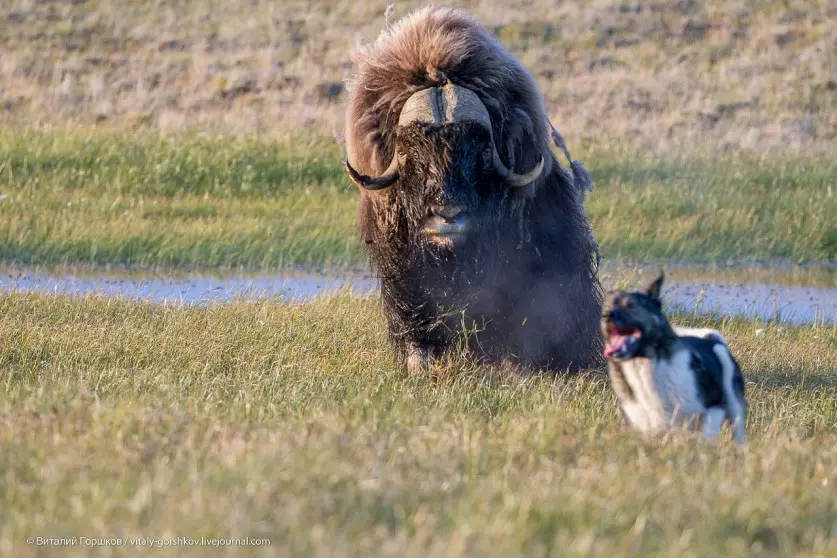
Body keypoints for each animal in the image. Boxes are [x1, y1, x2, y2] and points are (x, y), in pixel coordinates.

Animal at [600, 272, 744, 446]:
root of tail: (710, 339)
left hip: (735, 405)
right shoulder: (646, 425)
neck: (645, 369)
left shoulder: (714, 406)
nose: (606, 315)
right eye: (607, 307)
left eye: (631, 305)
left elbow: (705, 437)